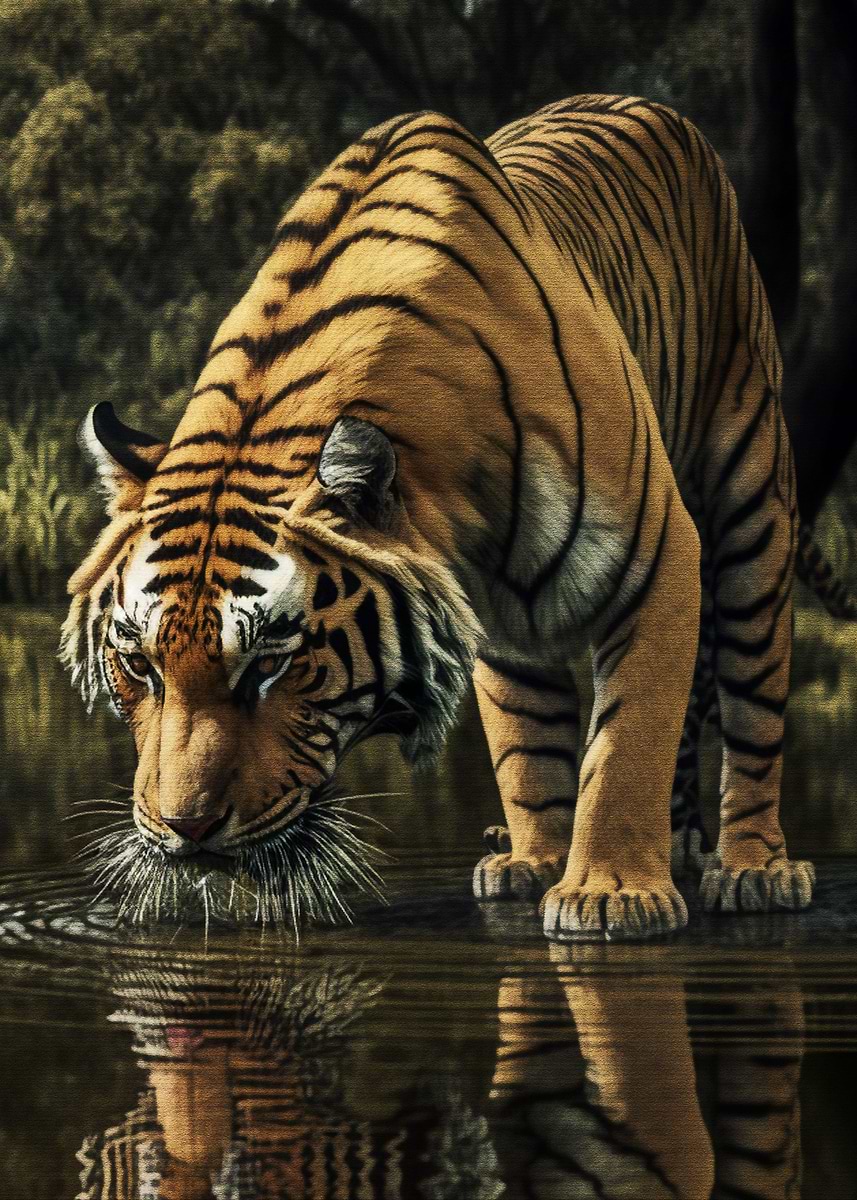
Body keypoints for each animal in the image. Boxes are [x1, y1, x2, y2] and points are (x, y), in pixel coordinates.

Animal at [63, 93, 815, 941]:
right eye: (139, 666)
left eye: (269, 666)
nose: (185, 830)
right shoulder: (495, 615)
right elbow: (526, 743)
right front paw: (541, 861)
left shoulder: (657, 555)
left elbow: (630, 735)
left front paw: (610, 892)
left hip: (751, 489)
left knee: (752, 695)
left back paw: (755, 868)